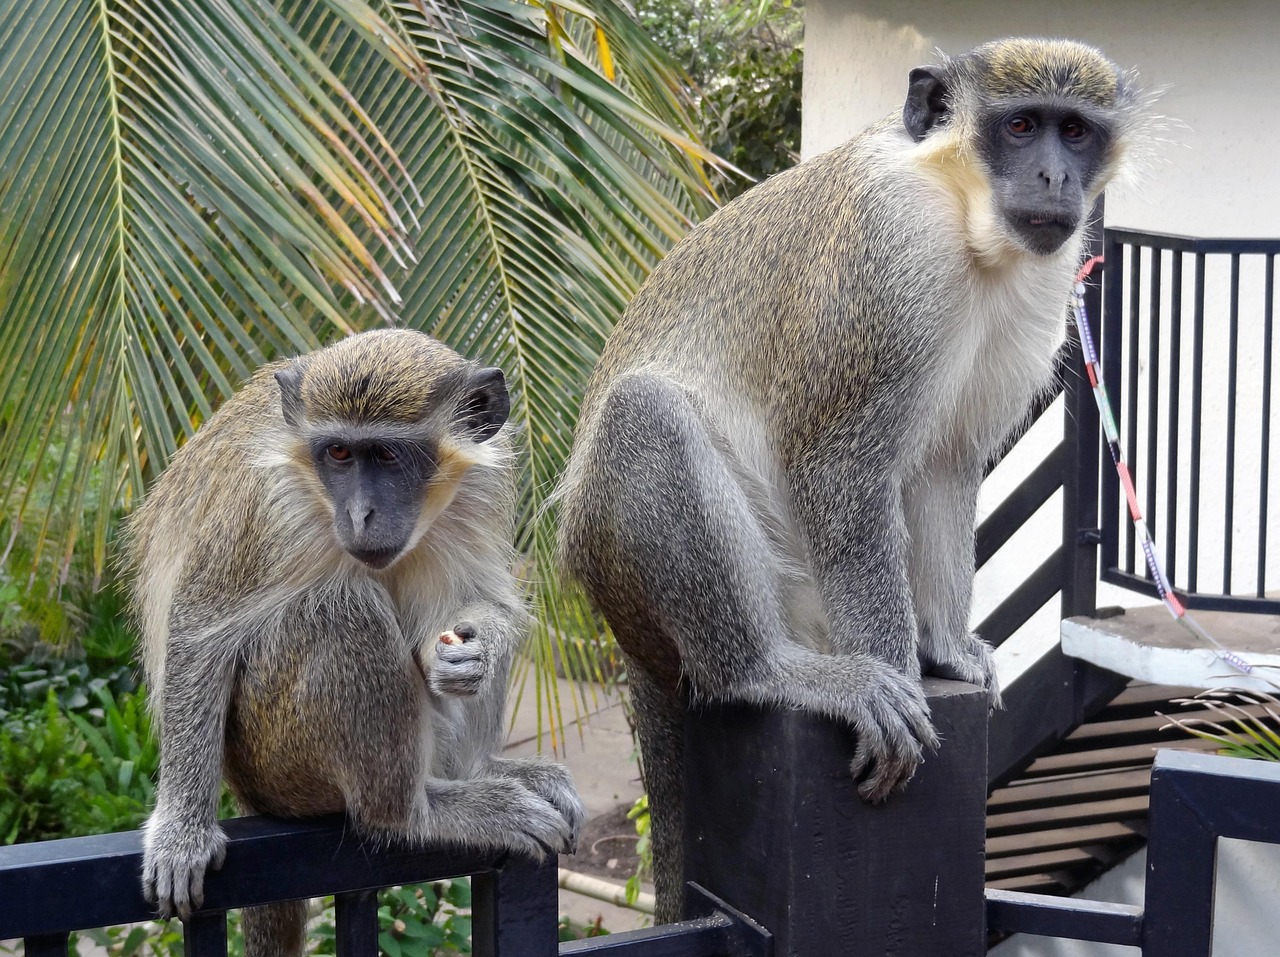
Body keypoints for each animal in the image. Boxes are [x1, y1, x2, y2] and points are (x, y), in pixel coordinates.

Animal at [124, 329, 584, 955]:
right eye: (339, 454)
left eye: (387, 456)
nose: (362, 513)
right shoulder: (266, 508)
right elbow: (198, 632)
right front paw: (181, 833)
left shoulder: (485, 484)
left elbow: (488, 601)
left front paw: (471, 650)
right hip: (281, 763)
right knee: (343, 610)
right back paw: (419, 813)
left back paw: (481, 768)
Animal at [555, 38, 1150, 922]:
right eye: (1020, 127)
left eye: (1074, 131)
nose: (1055, 178)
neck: (961, 217)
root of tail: (618, 618)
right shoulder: (886, 257)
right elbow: (837, 462)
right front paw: (897, 668)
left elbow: (946, 464)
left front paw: (946, 649)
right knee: (647, 412)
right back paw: (769, 668)